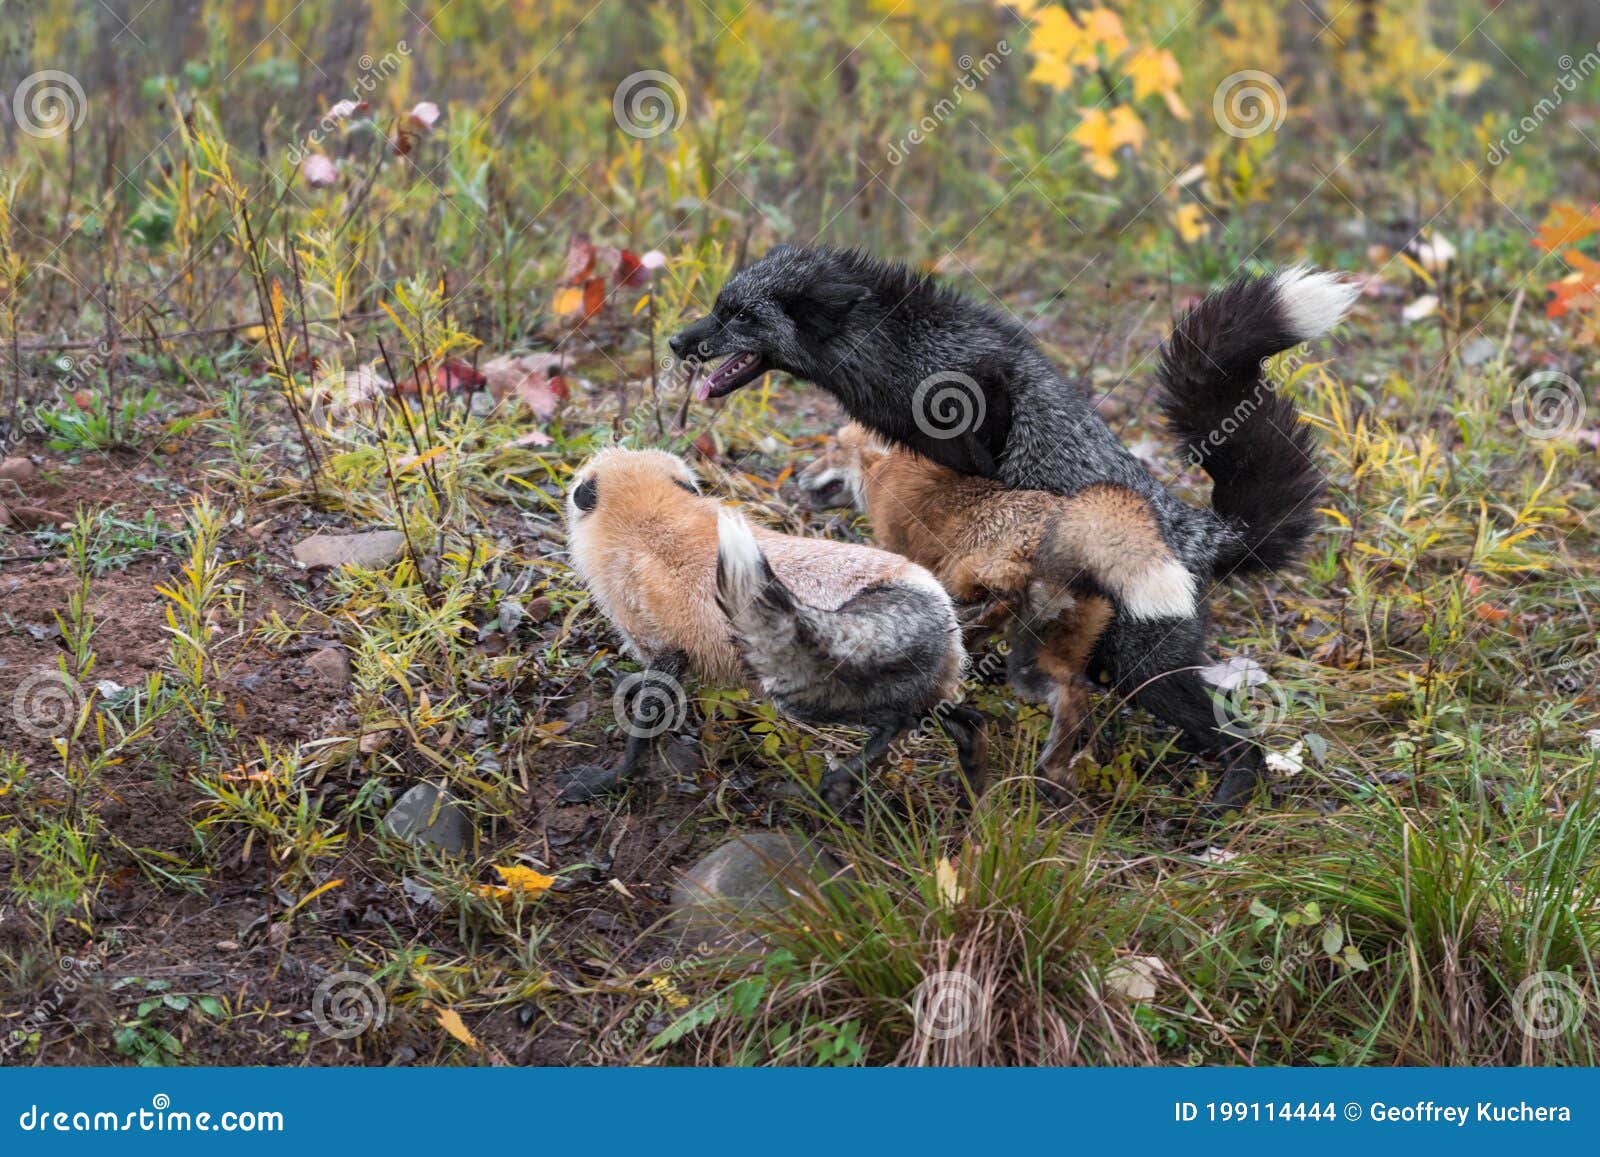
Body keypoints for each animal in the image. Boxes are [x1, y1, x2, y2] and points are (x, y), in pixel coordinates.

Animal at [561, 446, 985, 806]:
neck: (648, 521)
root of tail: (933, 598)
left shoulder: (666, 650)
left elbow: (643, 733)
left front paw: (611, 781)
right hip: (928, 691)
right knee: (967, 725)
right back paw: (972, 801)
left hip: (801, 693)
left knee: (898, 724)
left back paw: (827, 789)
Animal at [671, 251, 1358, 808]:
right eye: (718, 308)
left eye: (739, 316)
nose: (678, 341)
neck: (899, 352)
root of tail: (1200, 531)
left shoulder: (984, 404)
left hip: (1147, 675)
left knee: (1240, 741)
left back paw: (1227, 797)